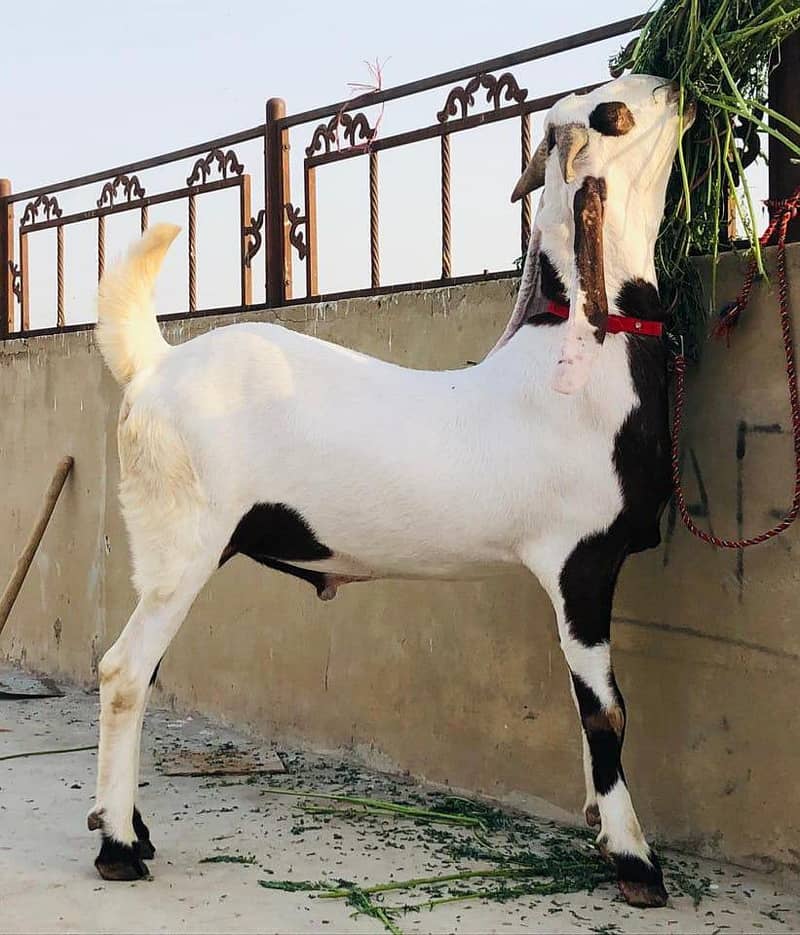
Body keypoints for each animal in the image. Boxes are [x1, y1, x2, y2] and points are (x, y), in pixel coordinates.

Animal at [88, 73, 693, 908]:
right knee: (122, 672)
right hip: (183, 538)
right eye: (615, 114)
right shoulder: (580, 560)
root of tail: (152, 364)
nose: (677, 85)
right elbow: (604, 710)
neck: (576, 351)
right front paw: (634, 857)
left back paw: (131, 827)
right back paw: (119, 847)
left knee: (142, 668)